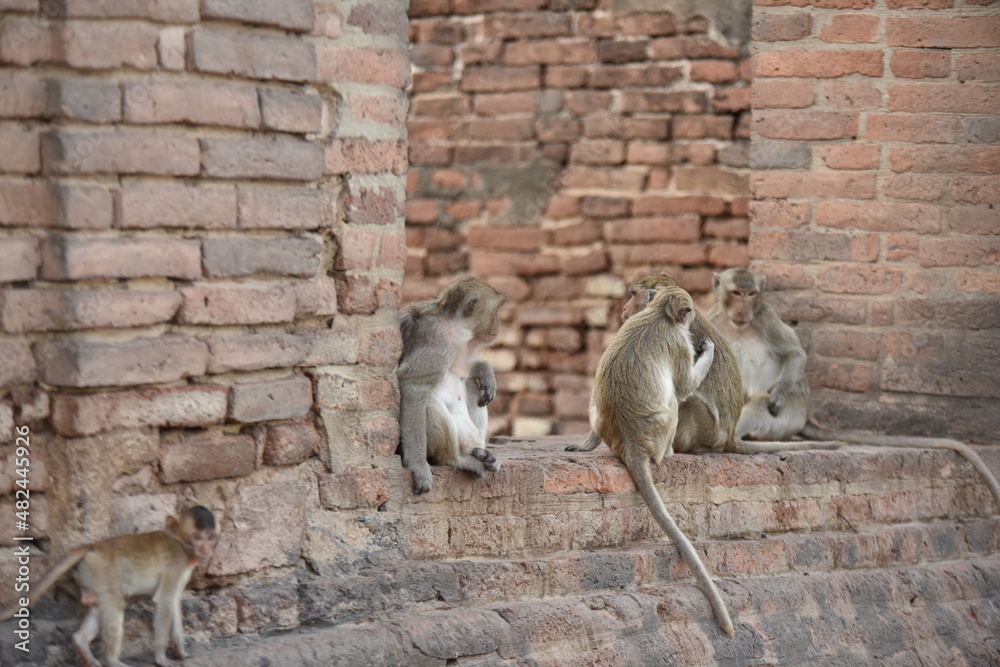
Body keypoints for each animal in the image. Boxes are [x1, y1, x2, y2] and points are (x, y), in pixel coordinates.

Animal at [0, 506, 218, 667]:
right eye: (198, 537)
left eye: (210, 537)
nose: (206, 549)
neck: (182, 546)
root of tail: (94, 547)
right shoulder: (176, 561)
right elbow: (164, 601)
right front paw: (161, 658)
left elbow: (173, 603)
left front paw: (180, 652)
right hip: (103, 570)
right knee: (114, 603)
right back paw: (111, 661)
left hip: (90, 575)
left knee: (100, 606)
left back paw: (81, 644)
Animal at [397, 276, 505, 494]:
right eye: (495, 311)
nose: (499, 322)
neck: (456, 329)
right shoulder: (437, 349)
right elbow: (412, 389)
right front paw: (418, 466)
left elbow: (466, 371)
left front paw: (486, 371)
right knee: (428, 402)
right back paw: (456, 459)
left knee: (472, 386)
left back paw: (481, 453)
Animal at [590, 286, 735, 637]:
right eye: (689, 312)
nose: (694, 318)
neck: (658, 314)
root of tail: (629, 444)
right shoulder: (678, 342)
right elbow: (685, 385)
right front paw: (708, 349)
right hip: (660, 430)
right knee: (675, 397)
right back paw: (669, 453)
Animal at [708, 267, 1000, 510]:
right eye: (736, 293)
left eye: (751, 294)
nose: (743, 309)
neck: (738, 325)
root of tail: (807, 415)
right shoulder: (713, 319)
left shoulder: (766, 317)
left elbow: (795, 354)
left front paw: (777, 395)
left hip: (793, 413)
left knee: (761, 405)